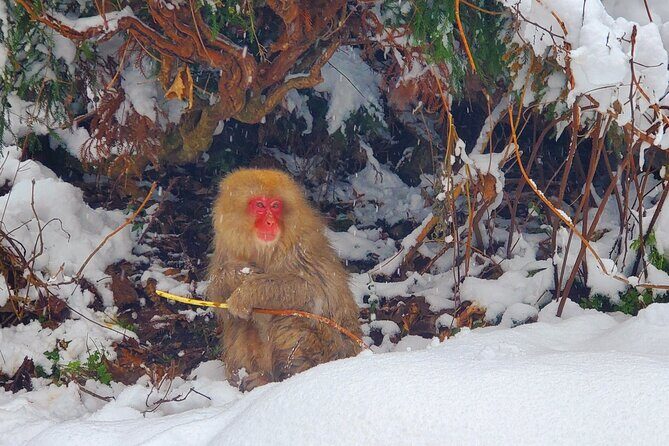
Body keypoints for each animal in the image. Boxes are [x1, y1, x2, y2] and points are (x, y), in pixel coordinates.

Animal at [206, 168, 363, 391]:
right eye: (260, 205)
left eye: (275, 206)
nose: (270, 222)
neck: (264, 249)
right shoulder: (225, 247)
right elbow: (221, 302)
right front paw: (238, 274)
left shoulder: (301, 246)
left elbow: (314, 290)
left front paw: (247, 292)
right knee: (241, 323)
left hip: (331, 349)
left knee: (291, 317)